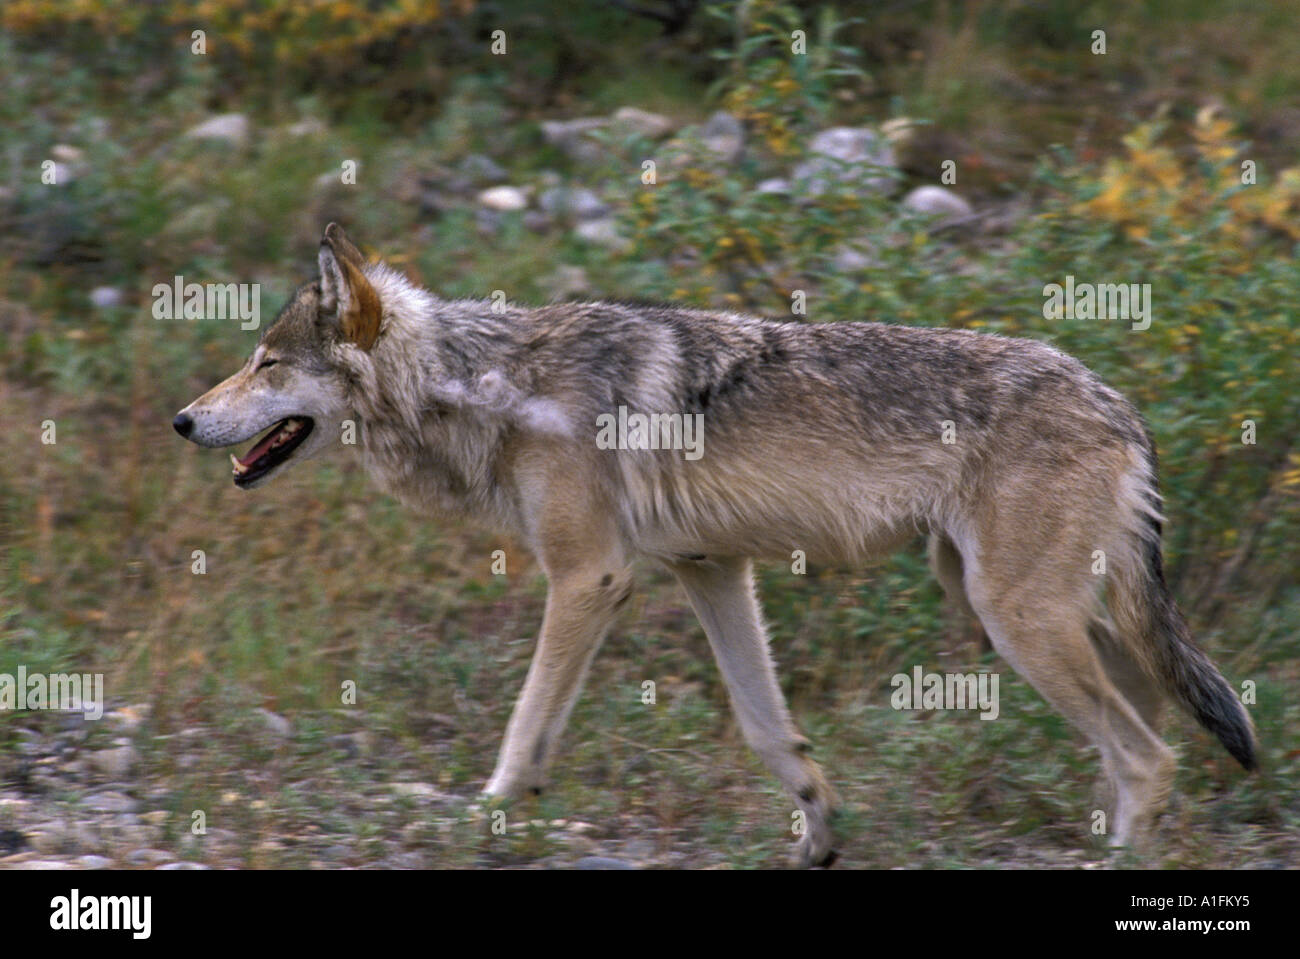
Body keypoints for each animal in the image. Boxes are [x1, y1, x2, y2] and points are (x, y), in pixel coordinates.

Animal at [174, 223, 1256, 866]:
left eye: (266, 363)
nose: (183, 420)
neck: (481, 383)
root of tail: (1118, 401)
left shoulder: (590, 576)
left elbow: (526, 726)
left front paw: (486, 813)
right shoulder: (711, 569)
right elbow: (768, 727)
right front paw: (818, 829)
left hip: (1016, 616)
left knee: (1149, 754)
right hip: (1034, 610)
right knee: (1145, 733)